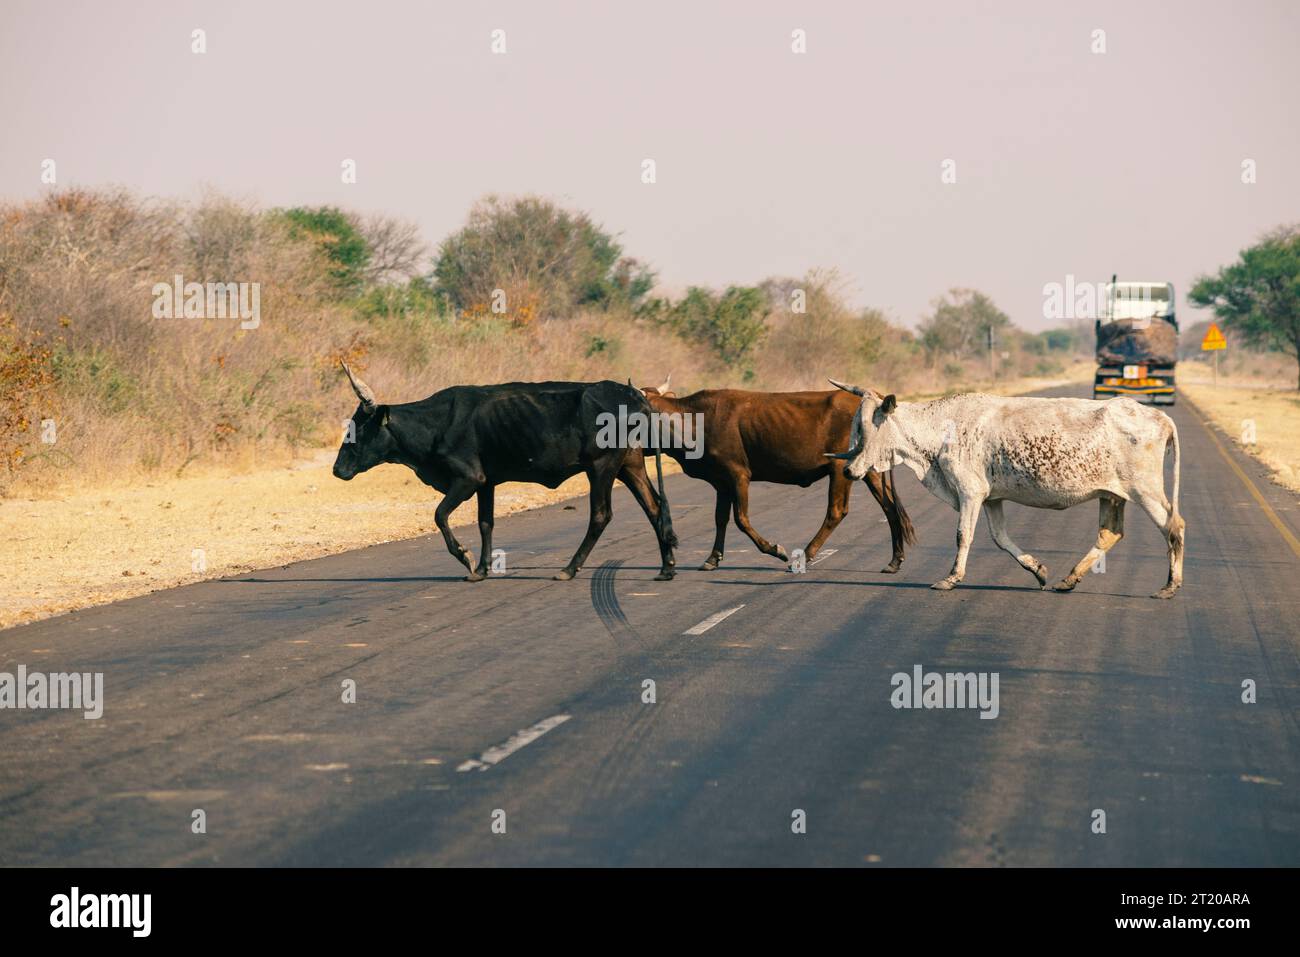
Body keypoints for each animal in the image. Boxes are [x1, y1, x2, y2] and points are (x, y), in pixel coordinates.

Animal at [332, 364, 678, 581]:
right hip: (629, 465)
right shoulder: (487, 483)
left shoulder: (468, 479)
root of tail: (635, 395)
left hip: (602, 467)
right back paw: (667, 567)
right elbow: (486, 523)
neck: (435, 423)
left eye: (361, 428)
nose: (337, 469)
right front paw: (482, 569)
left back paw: (569, 569)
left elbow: (440, 515)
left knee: (602, 515)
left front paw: (465, 557)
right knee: (654, 506)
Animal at [640, 376, 916, 572]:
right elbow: (721, 519)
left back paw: (805, 556)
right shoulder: (722, 482)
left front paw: (776, 549)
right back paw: (895, 560)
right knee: (890, 508)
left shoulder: (738, 475)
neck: (696, 420)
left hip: (841, 469)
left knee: (837, 511)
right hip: (869, 471)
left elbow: (741, 519)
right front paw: (712, 558)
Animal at [826, 384, 1185, 598]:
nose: (849, 470)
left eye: (866, 426)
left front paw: (951, 579)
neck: (941, 429)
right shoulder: (991, 498)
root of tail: (1160, 416)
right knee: (1110, 534)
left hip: (1146, 490)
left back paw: (1170, 586)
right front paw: (1038, 570)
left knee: (1174, 526)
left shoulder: (970, 492)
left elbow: (963, 535)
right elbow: (1000, 538)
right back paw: (1068, 580)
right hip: (1113, 495)